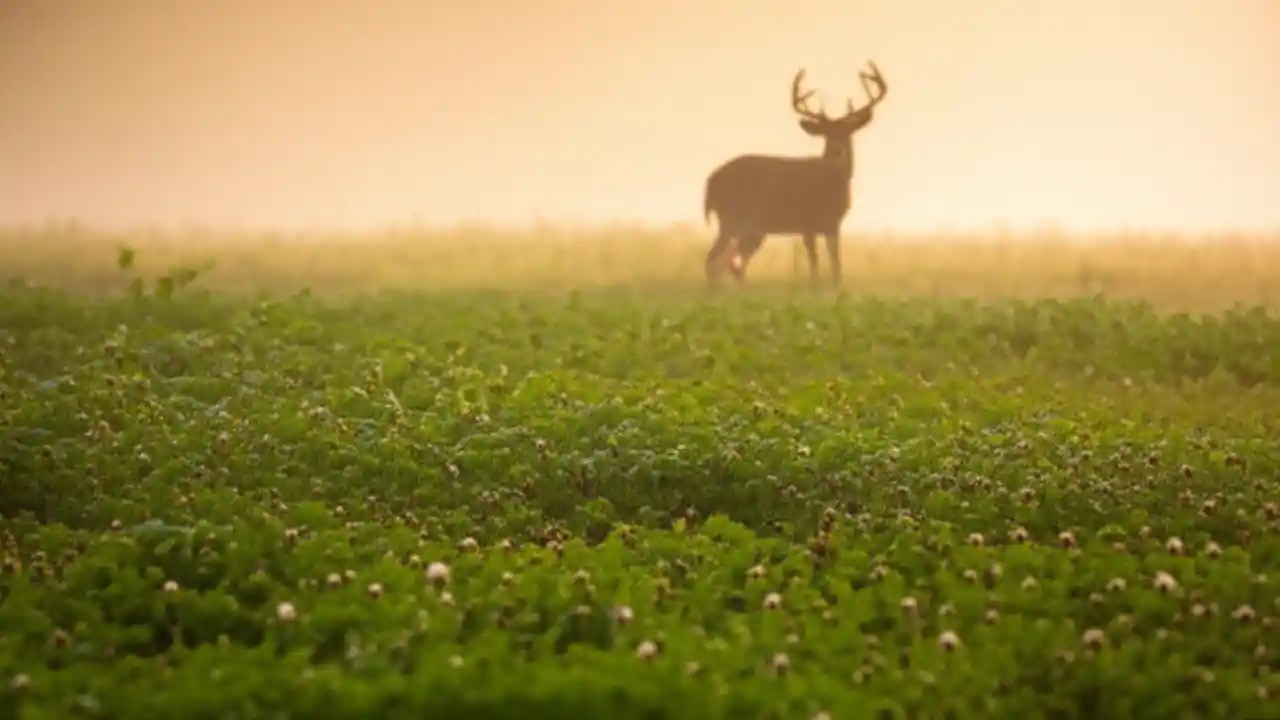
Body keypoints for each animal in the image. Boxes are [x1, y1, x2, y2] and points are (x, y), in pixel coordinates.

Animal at [702, 60, 887, 286]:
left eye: (848, 131)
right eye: (826, 133)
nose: (837, 150)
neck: (829, 184)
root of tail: (711, 182)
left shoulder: (833, 224)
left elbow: (836, 262)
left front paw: (837, 287)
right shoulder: (806, 222)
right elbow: (814, 261)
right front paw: (814, 287)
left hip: (748, 227)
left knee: (726, 260)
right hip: (731, 217)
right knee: (715, 258)